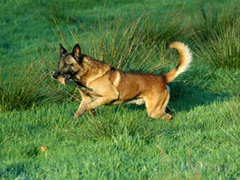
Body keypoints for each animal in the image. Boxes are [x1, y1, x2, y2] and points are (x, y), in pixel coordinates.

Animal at [51, 41, 192, 120]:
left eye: (67, 64)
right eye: (59, 64)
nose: (53, 75)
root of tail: (162, 77)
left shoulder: (109, 96)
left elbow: (90, 107)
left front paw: (93, 114)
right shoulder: (85, 99)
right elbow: (78, 113)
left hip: (153, 110)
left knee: (168, 116)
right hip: (160, 107)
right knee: (171, 113)